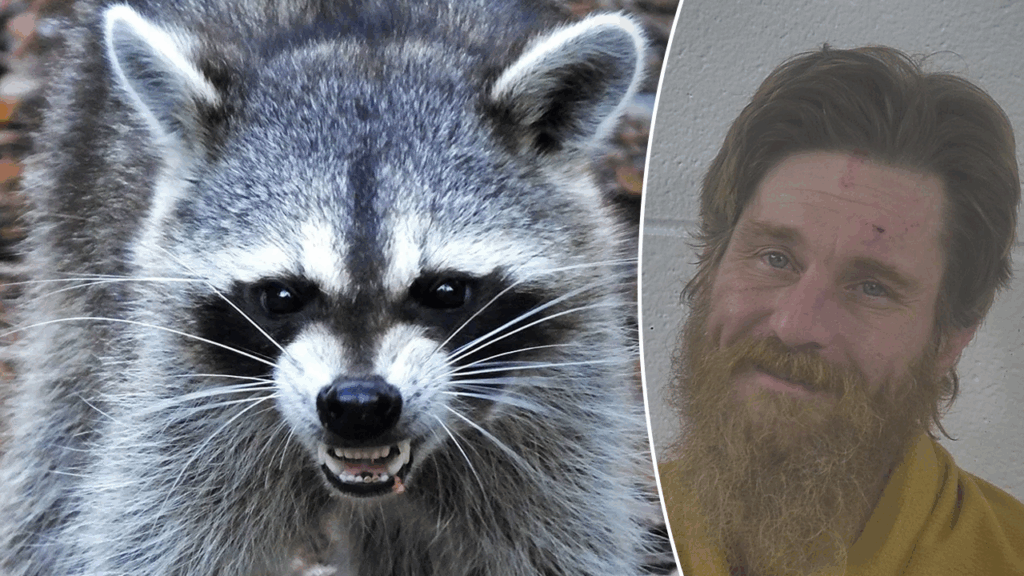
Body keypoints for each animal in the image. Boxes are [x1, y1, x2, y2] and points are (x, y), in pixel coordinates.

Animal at [0, 1, 653, 574]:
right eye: (282, 296)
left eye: (444, 291)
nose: (358, 405)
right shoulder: (179, 402)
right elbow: (148, 532)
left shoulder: (557, 405)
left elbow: (564, 539)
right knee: (55, 457)